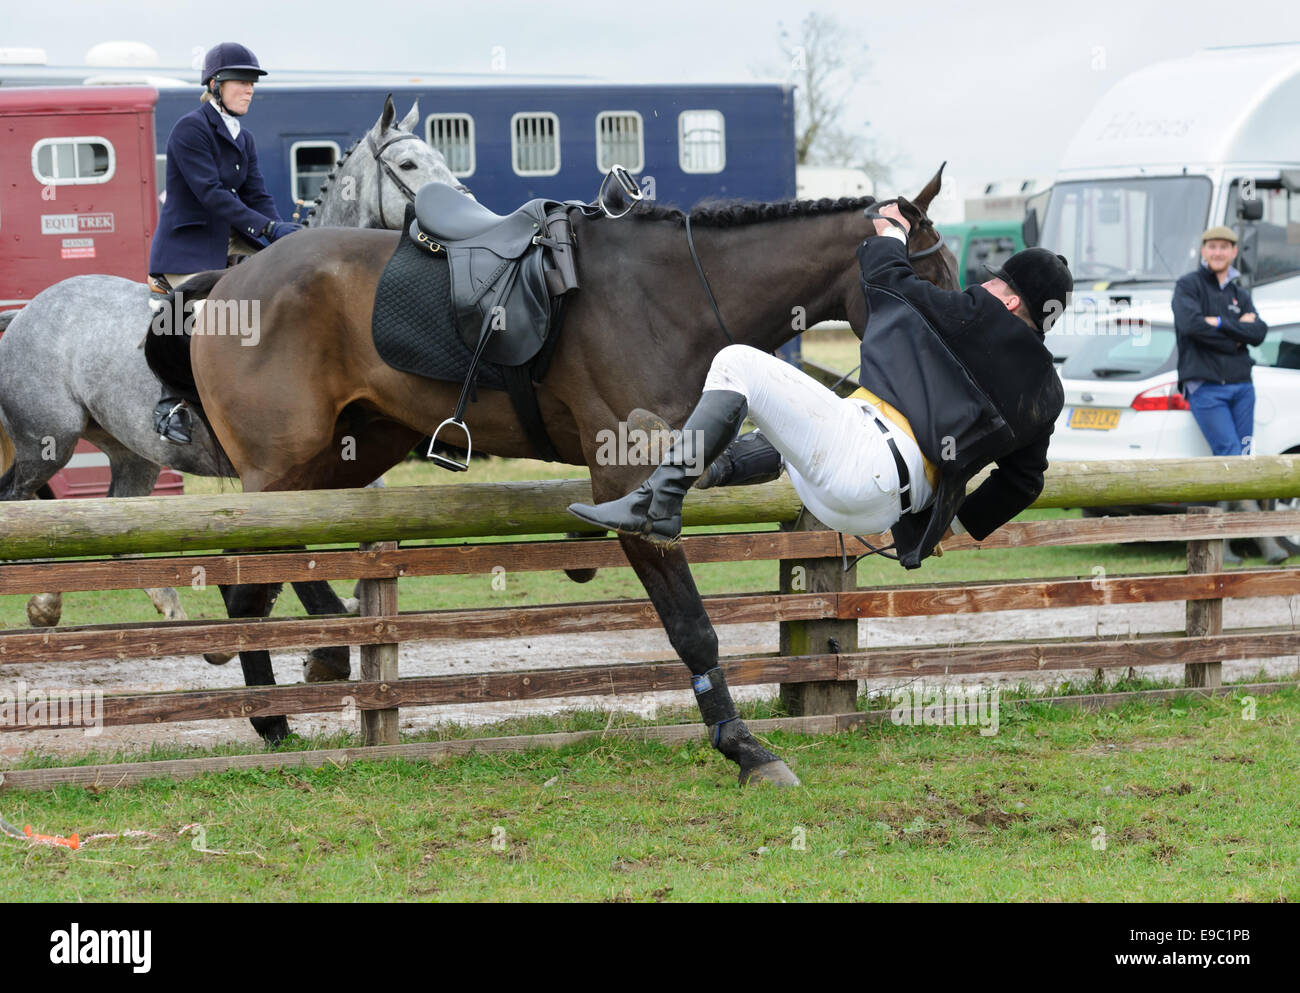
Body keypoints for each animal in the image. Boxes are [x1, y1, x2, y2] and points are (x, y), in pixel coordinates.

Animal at [0, 95, 462, 653]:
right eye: (410, 165)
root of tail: (27, 311)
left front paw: (352, 598)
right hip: (48, 441)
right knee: (19, 504)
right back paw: (45, 603)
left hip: (130, 452)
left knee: (113, 521)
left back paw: (156, 606)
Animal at [152, 166, 958, 783]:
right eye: (925, 279)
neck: (680, 297)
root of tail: (229, 279)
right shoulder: (625, 483)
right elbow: (692, 627)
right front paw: (743, 747)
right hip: (281, 468)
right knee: (251, 575)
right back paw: (284, 697)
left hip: (347, 453)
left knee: (254, 584)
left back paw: (284, 705)